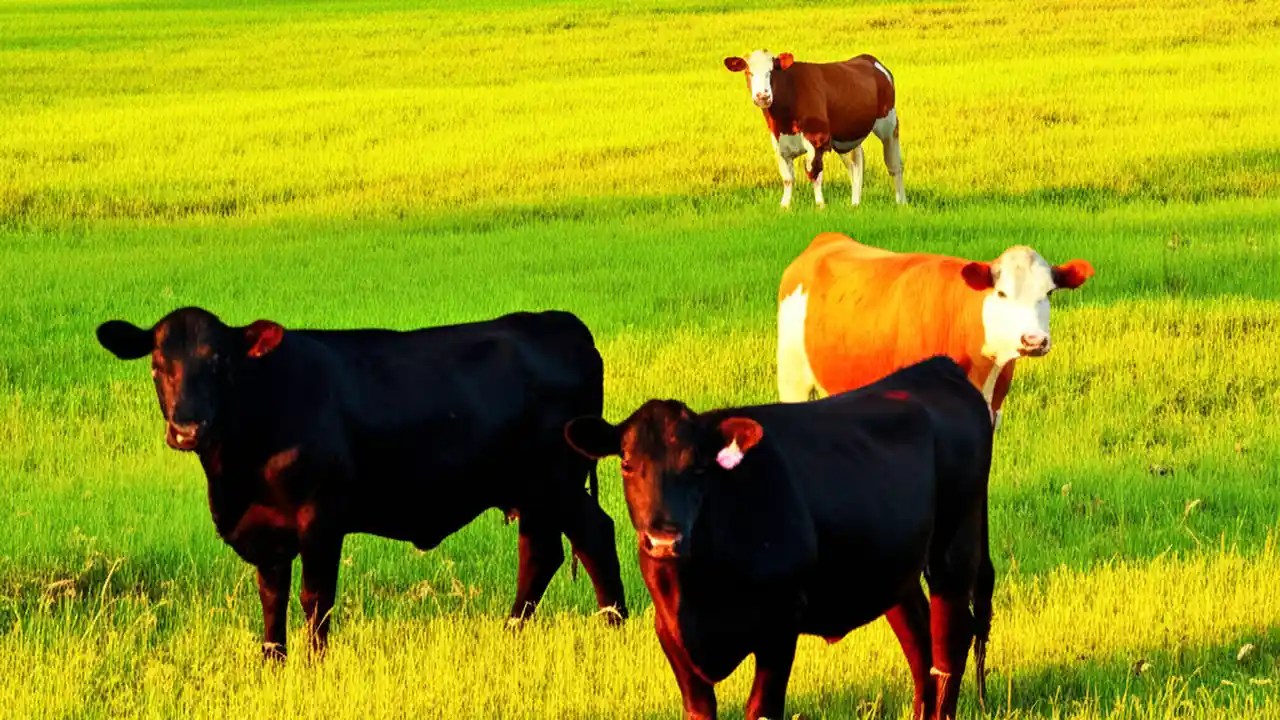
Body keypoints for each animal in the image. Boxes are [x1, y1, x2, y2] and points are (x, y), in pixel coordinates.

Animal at [95, 306, 628, 660]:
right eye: (157, 366)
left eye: (220, 364)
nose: (187, 429)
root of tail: (561, 323)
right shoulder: (265, 530)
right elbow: (272, 598)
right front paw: (272, 663)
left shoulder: (320, 519)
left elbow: (315, 599)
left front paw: (314, 665)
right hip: (532, 491)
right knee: (541, 553)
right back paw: (513, 632)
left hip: (557, 482)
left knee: (592, 537)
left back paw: (615, 625)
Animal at [565, 356, 994, 720]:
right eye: (627, 463)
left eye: (699, 467)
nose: (664, 540)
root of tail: (936, 367)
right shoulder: (669, 631)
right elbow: (699, 709)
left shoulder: (782, 620)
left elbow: (762, 709)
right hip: (893, 566)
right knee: (920, 643)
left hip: (954, 545)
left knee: (949, 645)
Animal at [724, 49, 905, 208]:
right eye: (749, 72)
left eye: (771, 71)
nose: (763, 96)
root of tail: (869, 59)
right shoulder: (779, 144)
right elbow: (788, 178)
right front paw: (784, 206)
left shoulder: (818, 138)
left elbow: (814, 174)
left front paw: (820, 206)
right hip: (847, 135)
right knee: (856, 164)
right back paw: (855, 204)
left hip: (888, 124)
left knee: (895, 165)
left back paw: (901, 202)